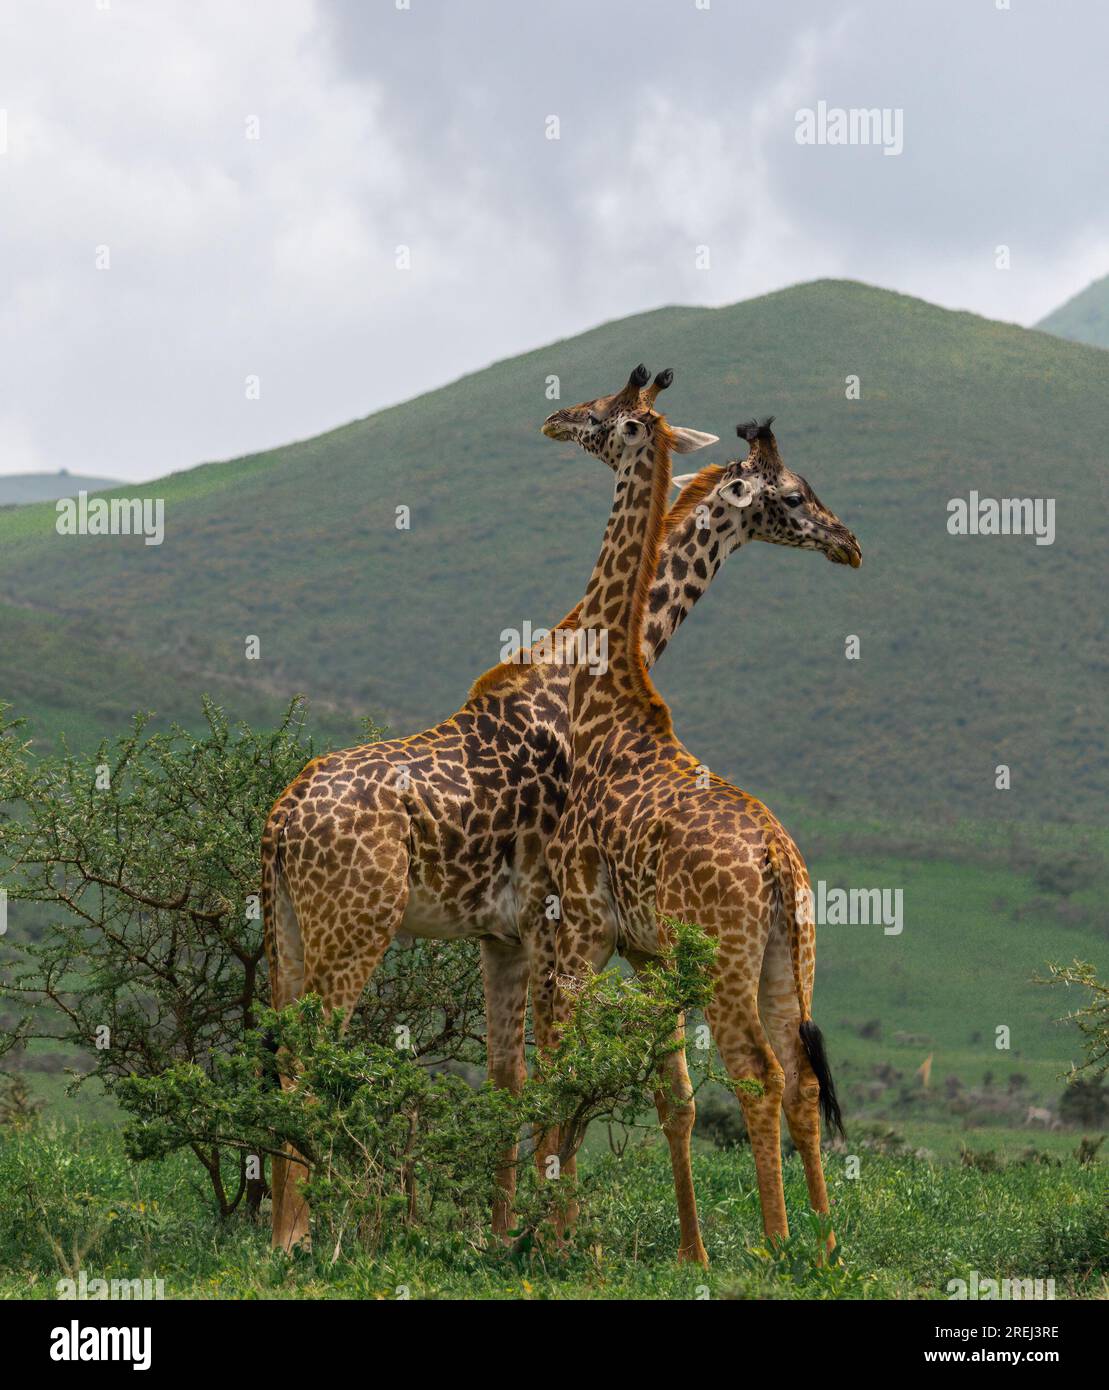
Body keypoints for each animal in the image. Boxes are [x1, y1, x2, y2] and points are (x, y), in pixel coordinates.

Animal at [538, 369, 860, 1265]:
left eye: (604, 414)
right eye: (796, 493)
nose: (553, 418)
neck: (607, 703)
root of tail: (777, 864)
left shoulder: (583, 929)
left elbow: (564, 1071)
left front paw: (542, 1236)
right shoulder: (649, 953)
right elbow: (665, 1091)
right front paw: (688, 1251)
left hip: (721, 961)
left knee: (758, 1070)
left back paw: (777, 1247)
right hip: (788, 957)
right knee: (802, 1073)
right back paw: (823, 1246)